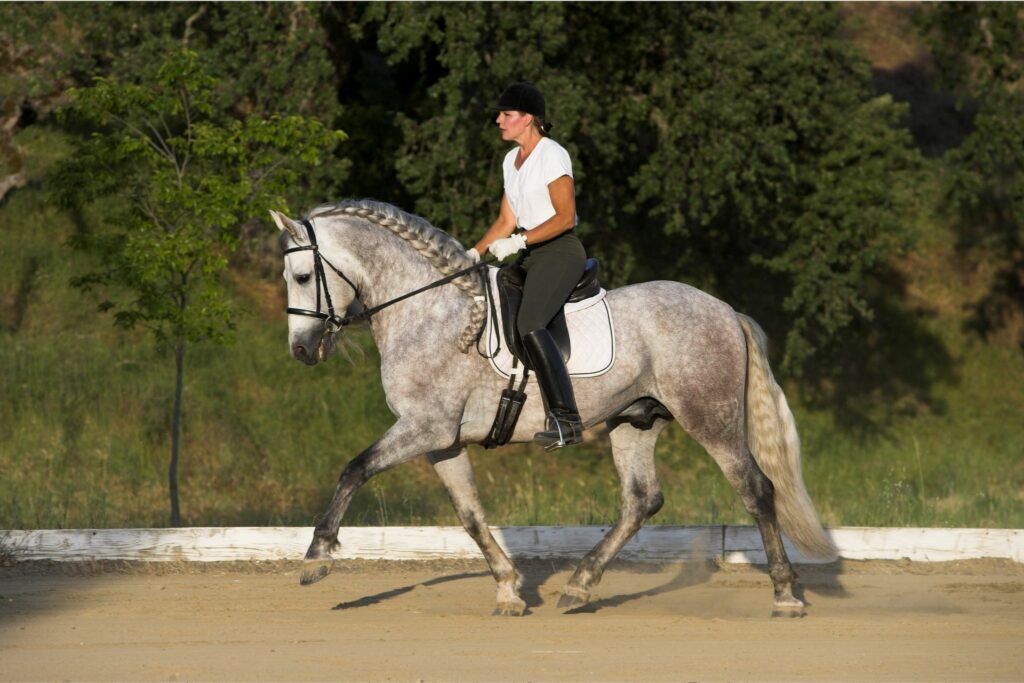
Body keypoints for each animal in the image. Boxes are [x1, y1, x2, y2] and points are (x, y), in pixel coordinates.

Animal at [270, 199, 836, 616]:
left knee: (757, 489)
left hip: (711, 419)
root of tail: (723, 309)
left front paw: (316, 558)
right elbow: (470, 515)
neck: (428, 311)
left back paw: (785, 595)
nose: (300, 351)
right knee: (641, 501)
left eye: (301, 277)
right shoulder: (441, 441)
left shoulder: (422, 428)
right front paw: (508, 589)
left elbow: (354, 468)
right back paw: (580, 585)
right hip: (635, 420)